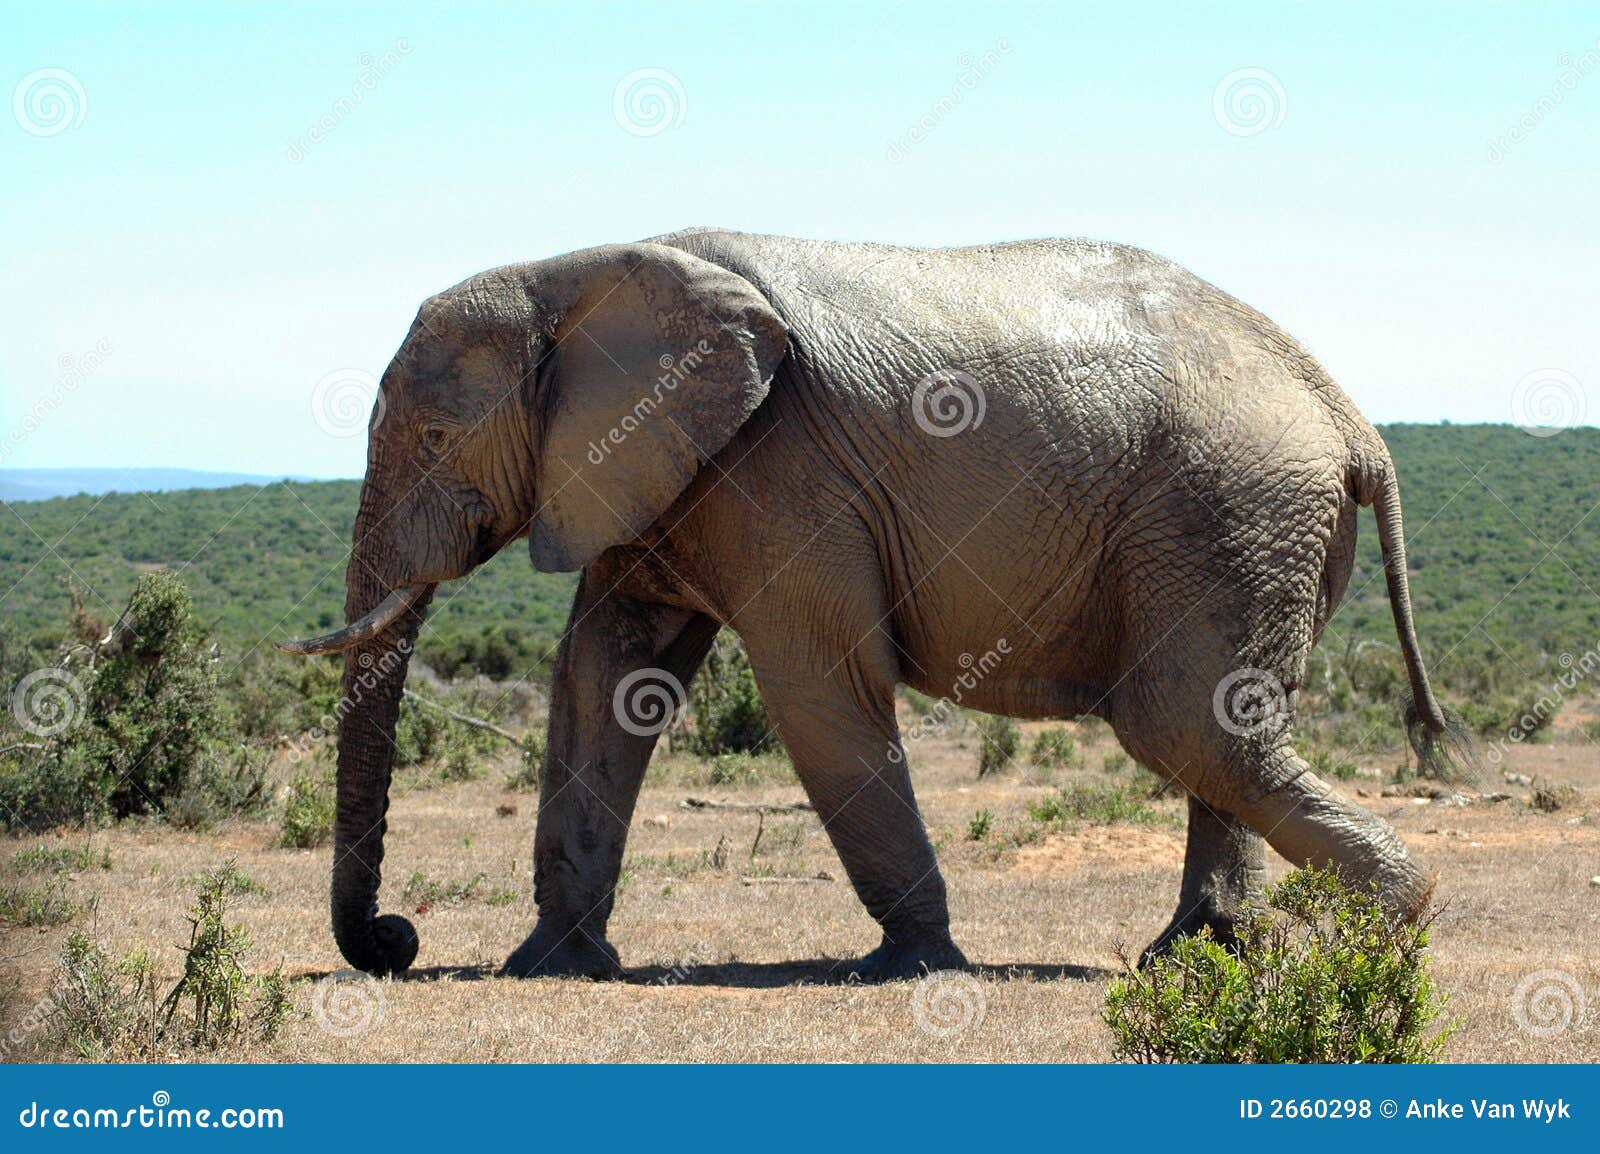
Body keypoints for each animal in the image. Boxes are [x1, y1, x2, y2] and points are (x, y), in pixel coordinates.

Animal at [280, 228, 1471, 981]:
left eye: (437, 437)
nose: (395, 941)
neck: (569, 271)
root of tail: (1349, 417)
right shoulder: (656, 473)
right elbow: (603, 678)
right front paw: (552, 967)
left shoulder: (779, 468)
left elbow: (818, 686)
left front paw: (911, 967)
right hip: (1252, 520)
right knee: (1221, 727)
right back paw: (1197, 955)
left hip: (1227, 502)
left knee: (1181, 722)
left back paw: (1387, 919)